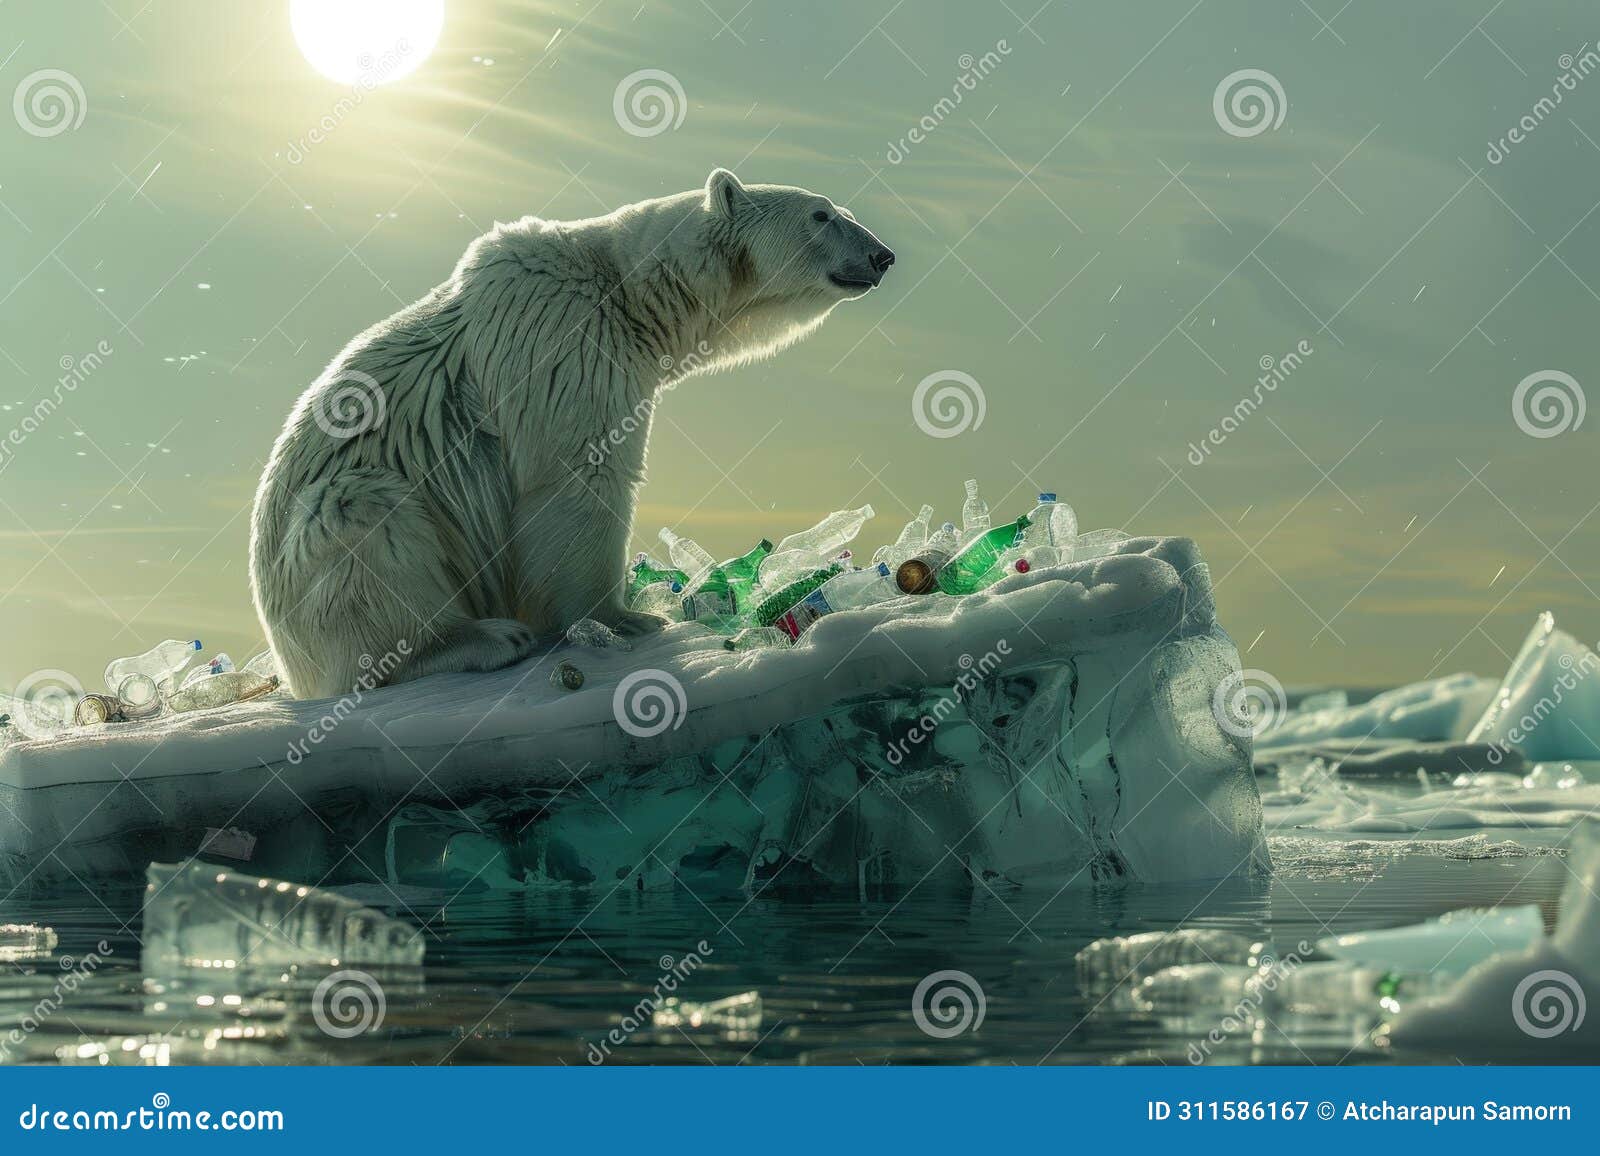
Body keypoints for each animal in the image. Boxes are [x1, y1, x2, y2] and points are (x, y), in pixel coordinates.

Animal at [249, 169, 895, 699]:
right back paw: (480, 639)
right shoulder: (565, 349)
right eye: (821, 214)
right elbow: (577, 481)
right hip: (330, 556)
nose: (883, 254)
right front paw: (623, 617)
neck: (626, 294)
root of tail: (291, 666)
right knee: (361, 523)